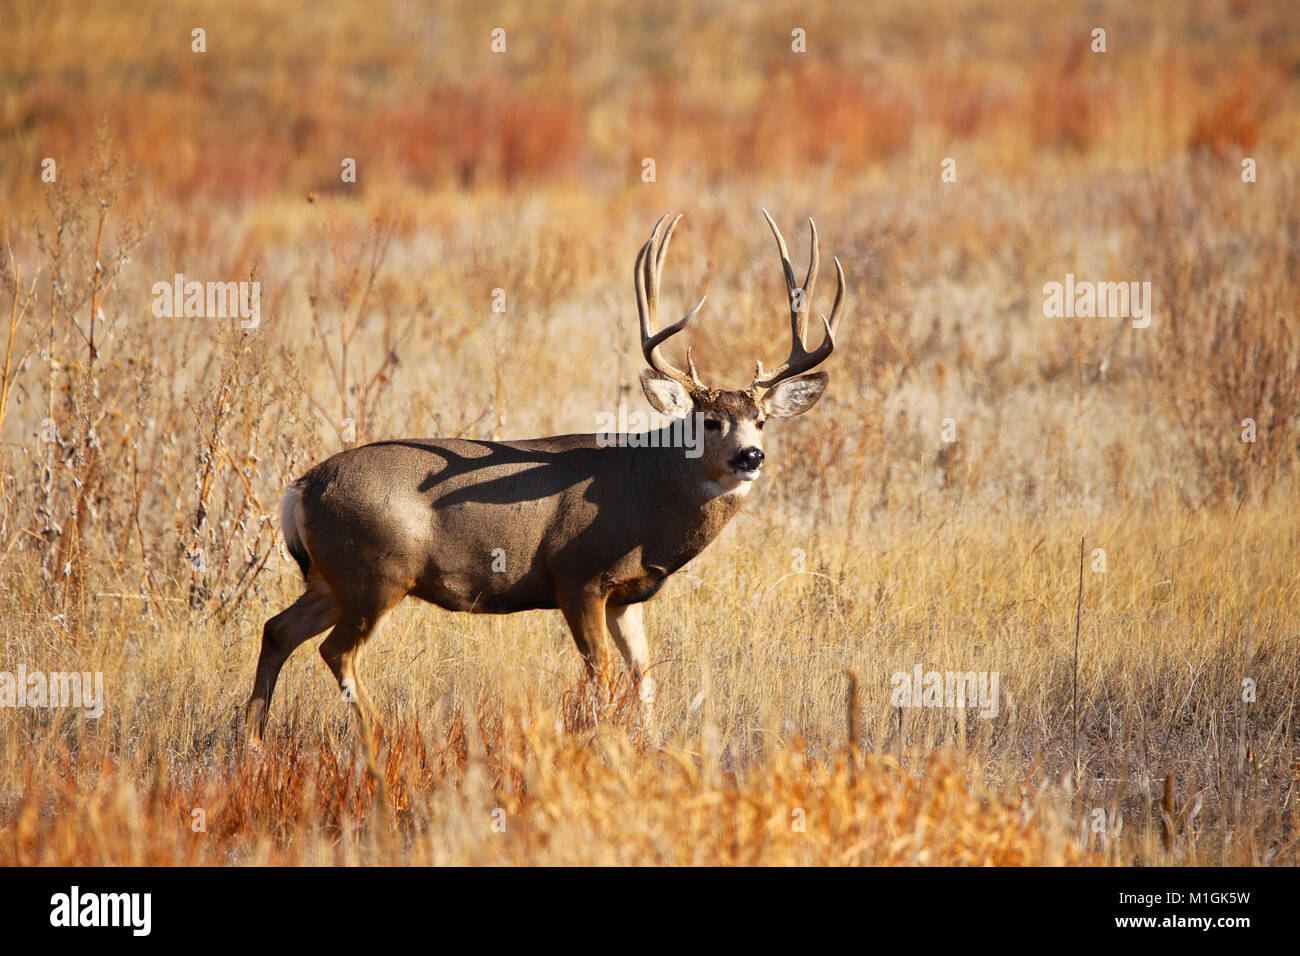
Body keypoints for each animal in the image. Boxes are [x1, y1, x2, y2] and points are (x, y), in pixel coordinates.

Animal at [245, 210, 846, 756]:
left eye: (761, 420)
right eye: (711, 421)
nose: (751, 455)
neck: (648, 497)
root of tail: (301, 486)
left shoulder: (627, 596)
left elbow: (645, 679)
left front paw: (651, 751)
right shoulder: (577, 576)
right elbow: (602, 677)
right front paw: (605, 746)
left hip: (331, 579)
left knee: (277, 630)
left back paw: (250, 742)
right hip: (377, 572)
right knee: (337, 652)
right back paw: (382, 738)